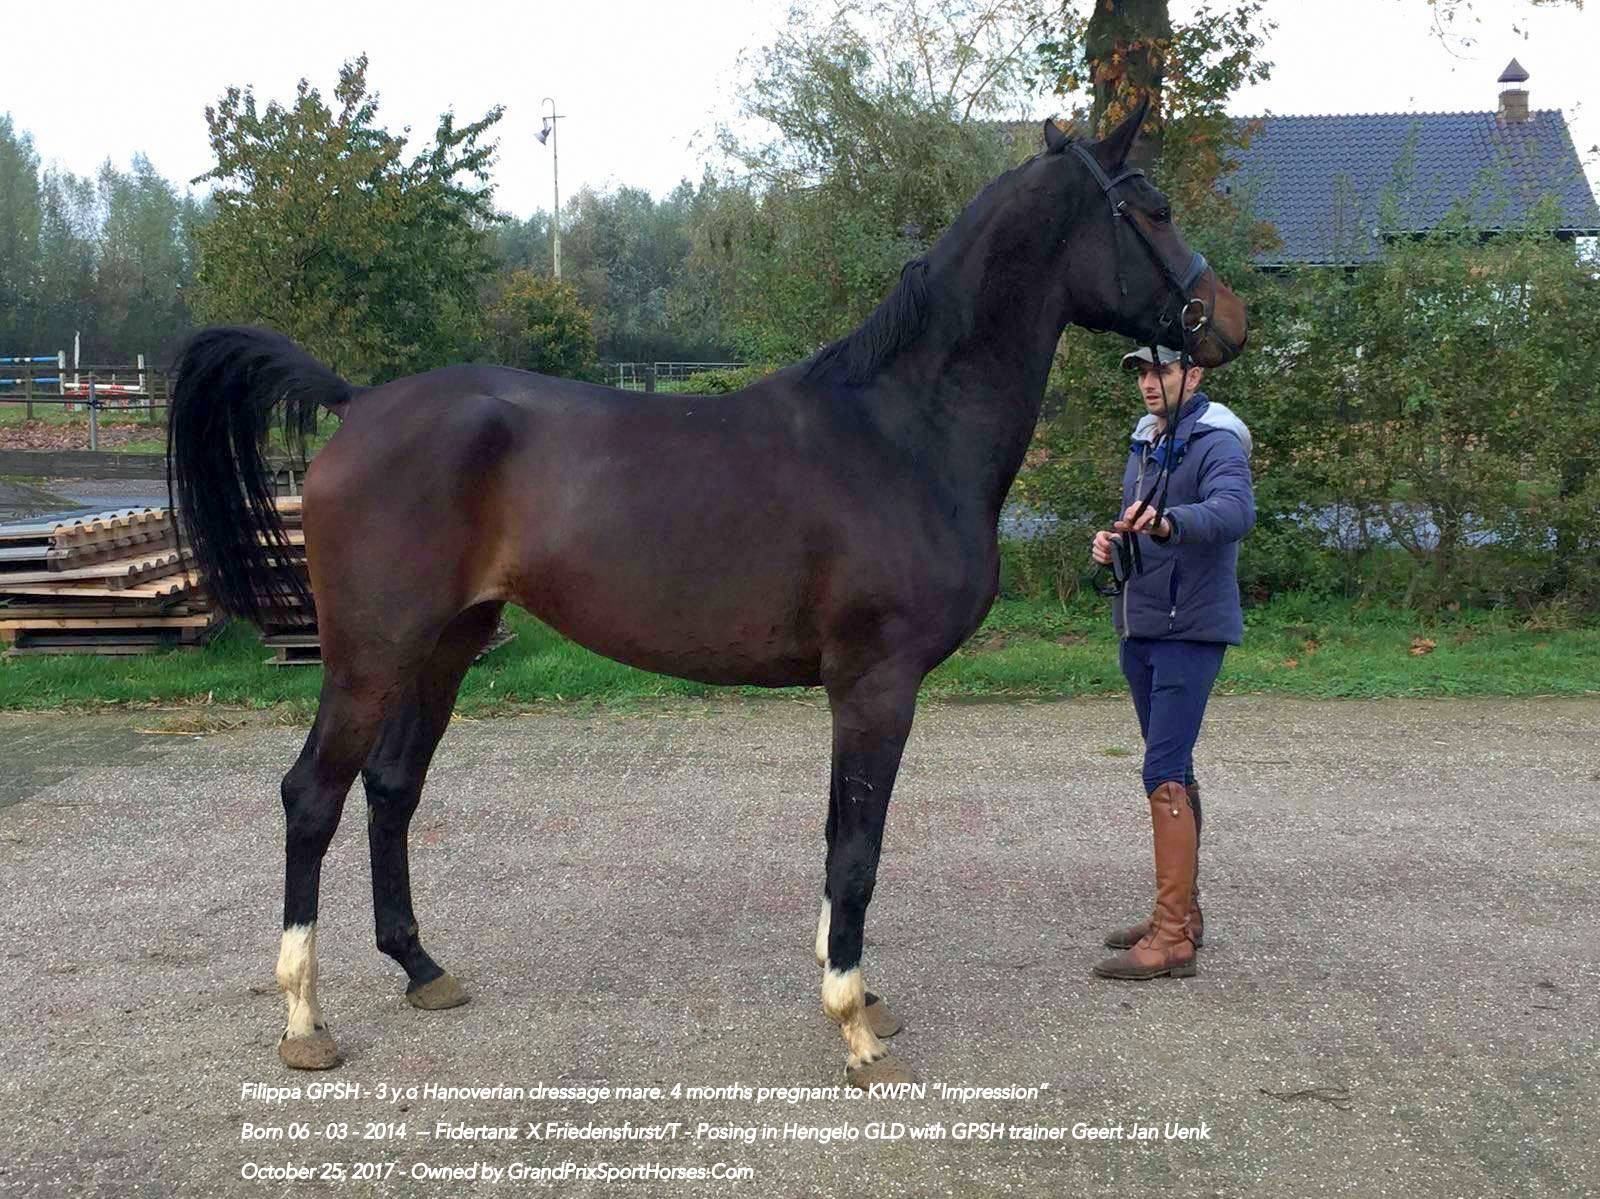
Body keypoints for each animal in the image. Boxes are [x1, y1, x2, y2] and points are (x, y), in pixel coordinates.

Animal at [168, 98, 1247, 1088]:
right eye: (1148, 210)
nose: (1228, 319)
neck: (901, 432)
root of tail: (357, 405)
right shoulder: (878, 683)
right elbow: (858, 848)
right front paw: (853, 1025)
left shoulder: (852, 689)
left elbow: (837, 836)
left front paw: (860, 992)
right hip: (370, 653)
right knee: (312, 795)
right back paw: (305, 1020)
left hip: (448, 642)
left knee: (393, 787)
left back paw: (423, 967)